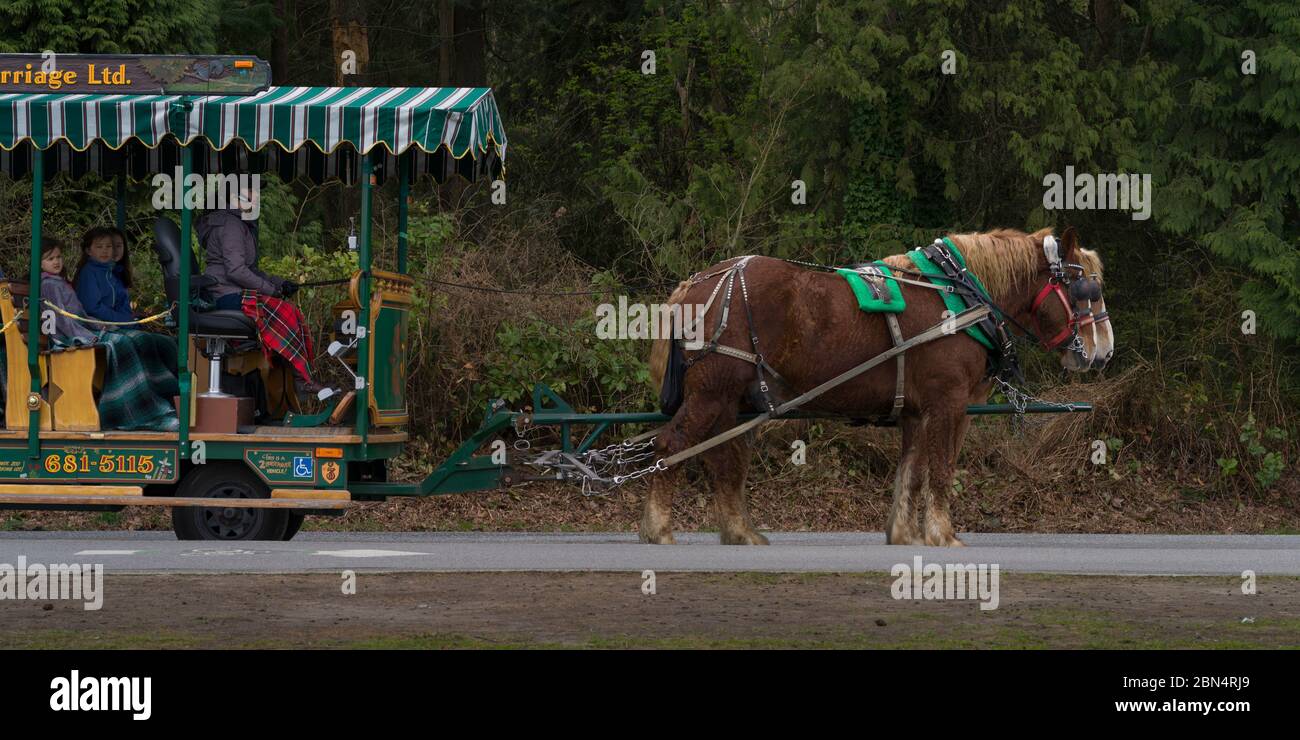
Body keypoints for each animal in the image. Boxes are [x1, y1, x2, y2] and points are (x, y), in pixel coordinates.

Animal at [644, 227, 1112, 546]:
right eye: (1084, 288)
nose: (1103, 351)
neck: (957, 293)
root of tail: (698, 283)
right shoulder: (948, 402)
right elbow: (942, 468)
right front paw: (943, 533)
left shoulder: (917, 412)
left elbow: (912, 472)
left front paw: (904, 533)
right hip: (711, 394)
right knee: (671, 445)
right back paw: (659, 527)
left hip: (730, 401)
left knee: (724, 460)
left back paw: (740, 531)